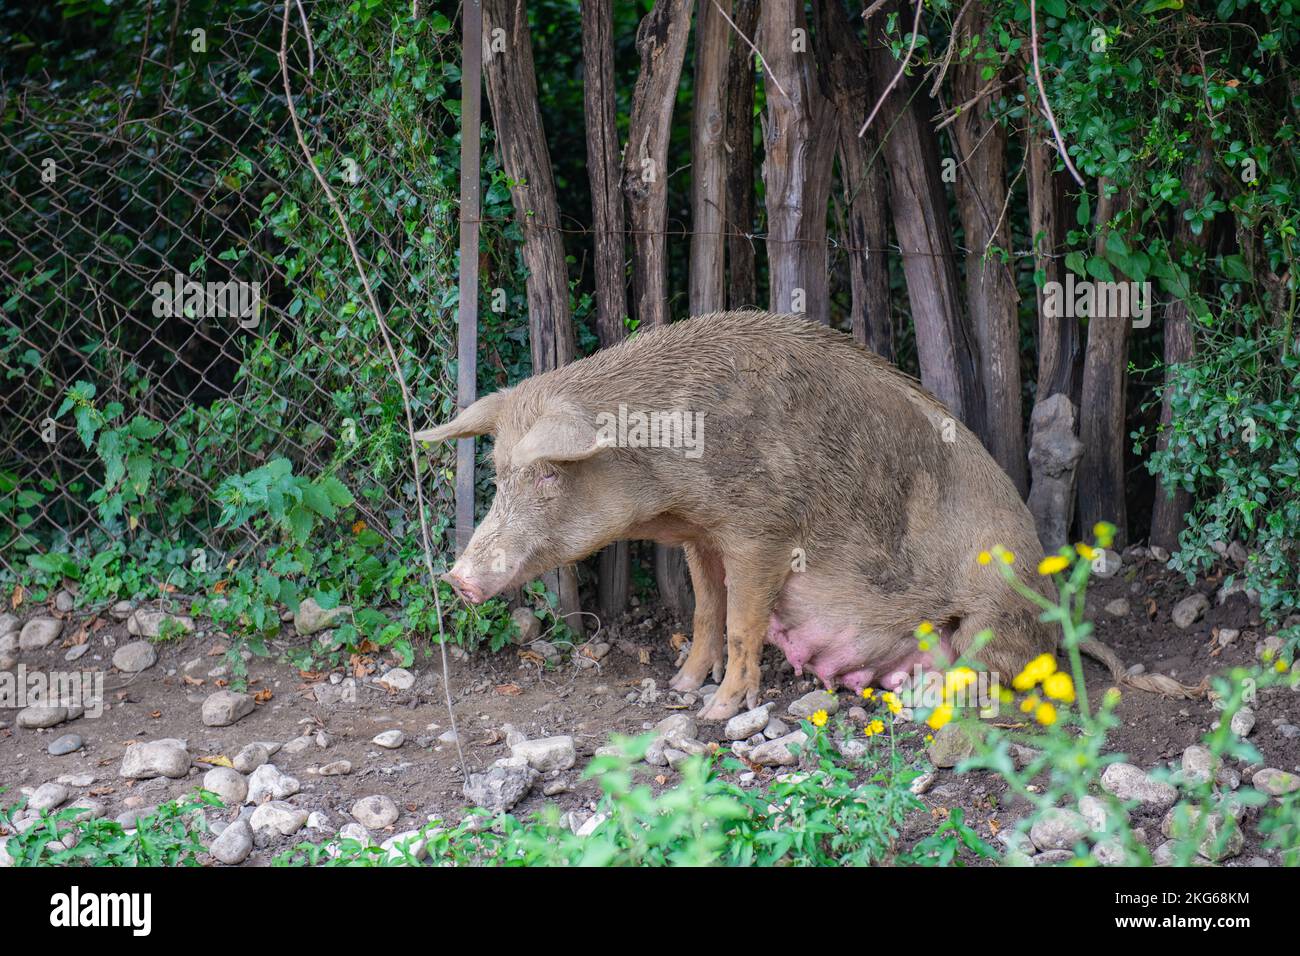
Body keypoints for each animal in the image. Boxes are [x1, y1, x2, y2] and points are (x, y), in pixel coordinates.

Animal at [416, 311, 1055, 721]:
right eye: (498, 472)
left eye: (549, 474)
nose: (455, 578)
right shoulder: (702, 536)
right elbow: (705, 611)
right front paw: (680, 686)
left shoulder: (762, 532)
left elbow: (743, 623)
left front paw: (717, 714)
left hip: (995, 600)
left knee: (994, 670)